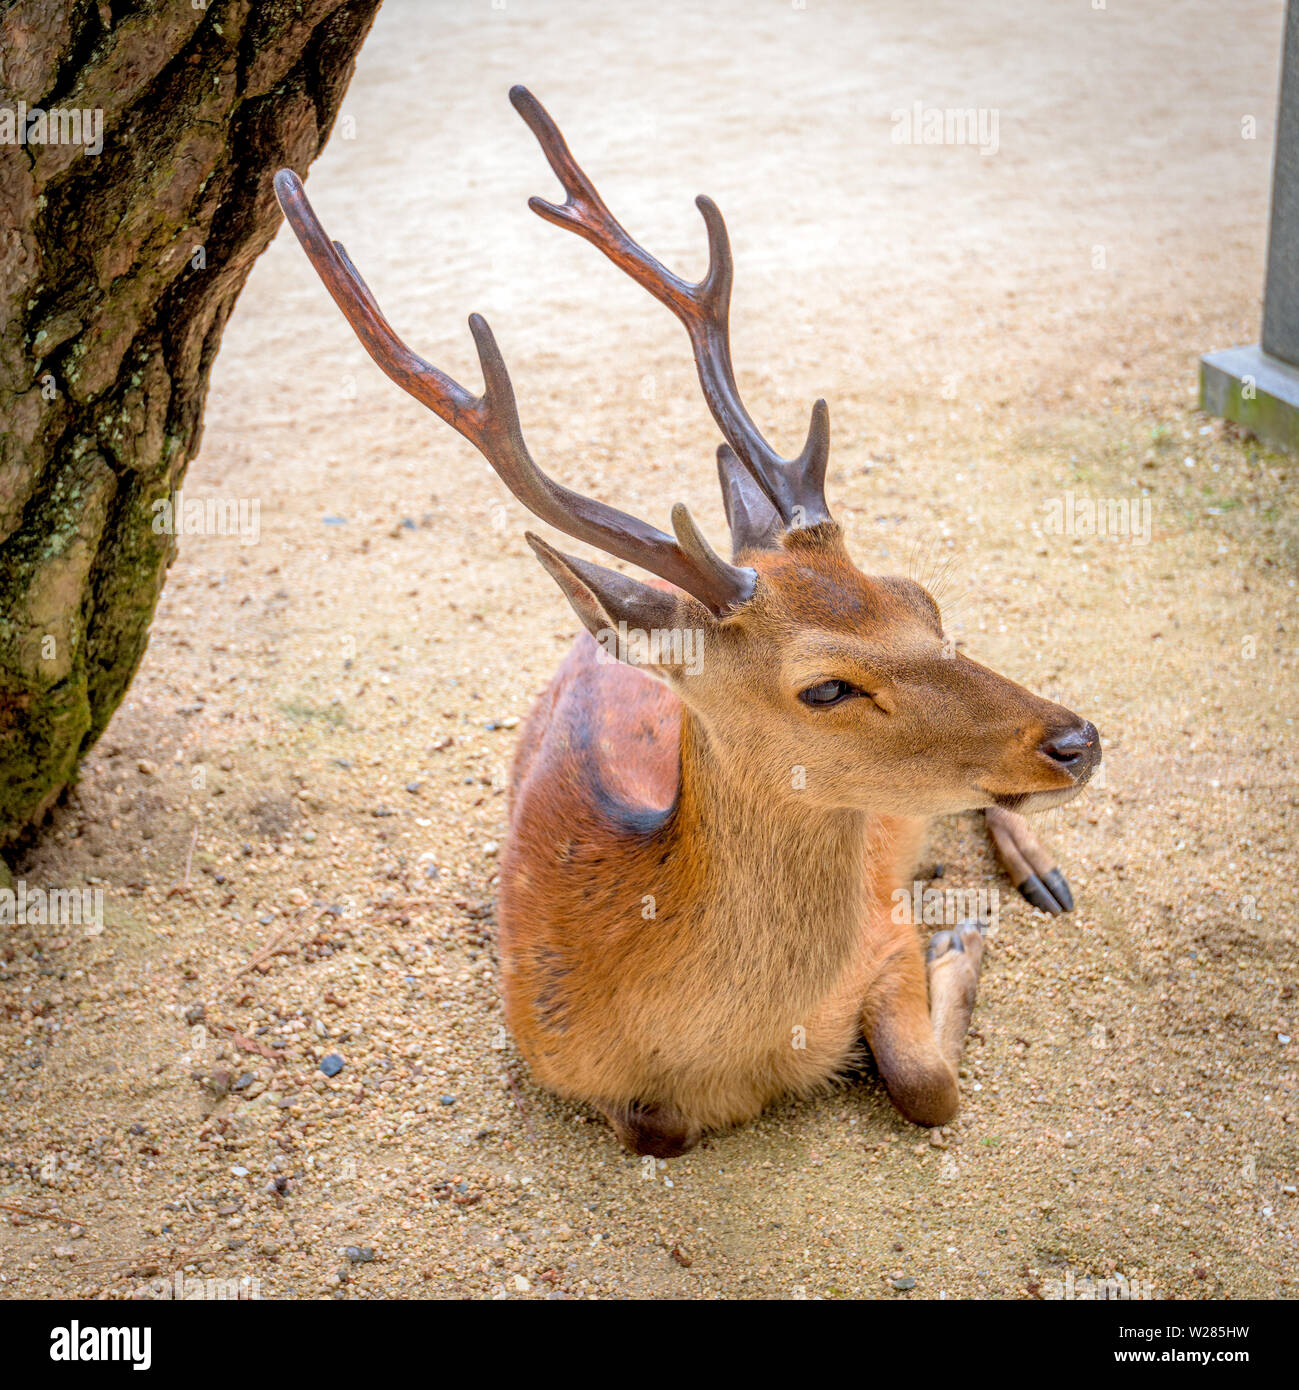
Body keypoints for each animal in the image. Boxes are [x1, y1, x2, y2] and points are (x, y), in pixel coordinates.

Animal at [273, 86, 1101, 1157]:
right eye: (824, 686)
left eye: (922, 599)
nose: (1075, 740)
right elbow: (660, 1129)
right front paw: (956, 936)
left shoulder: (879, 937)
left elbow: (927, 1083)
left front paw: (955, 939)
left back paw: (1040, 876)